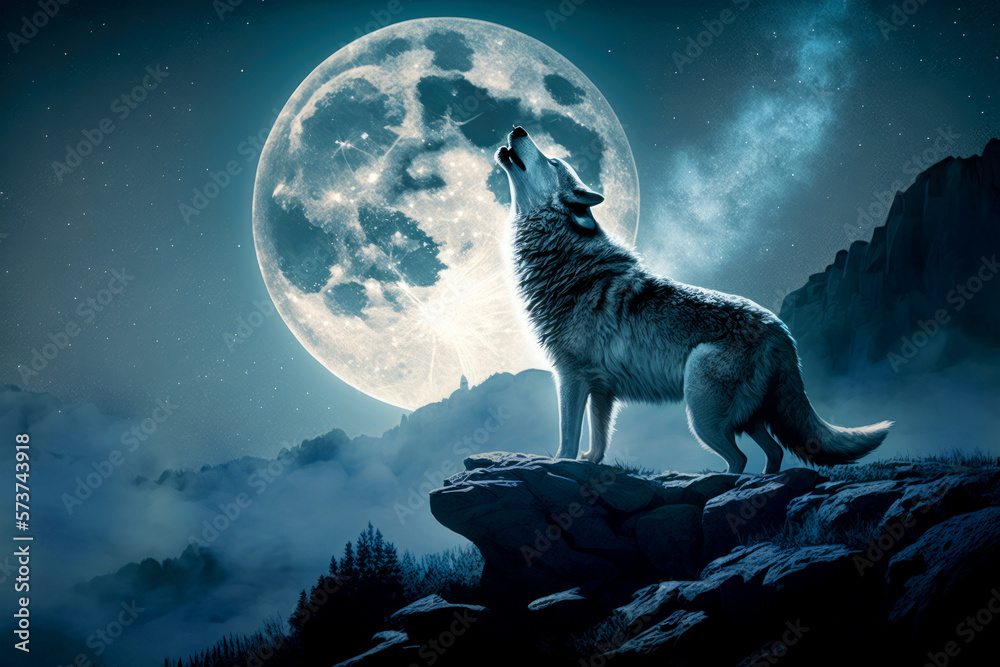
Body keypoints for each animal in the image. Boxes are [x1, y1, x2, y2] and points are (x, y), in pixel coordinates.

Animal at [495, 126, 891, 474]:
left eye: (552, 162)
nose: (518, 129)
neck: (564, 258)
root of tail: (781, 330)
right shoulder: (602, 388)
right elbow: (599, 440)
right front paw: (589, 462)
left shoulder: (570, 376)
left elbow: (568, 436)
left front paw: (557, 463)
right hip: (744, 418)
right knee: (774, 451)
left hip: (701, 415)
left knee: (739, 459)